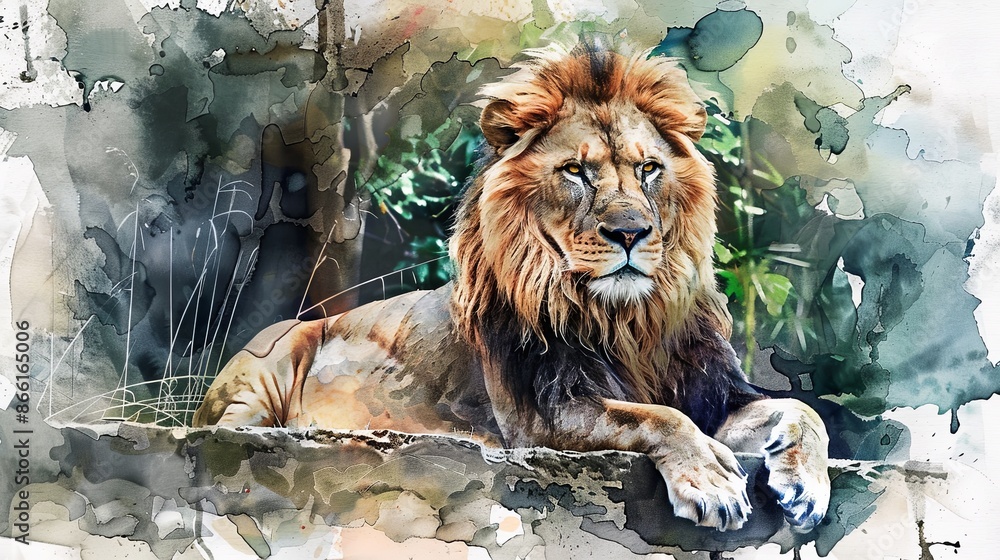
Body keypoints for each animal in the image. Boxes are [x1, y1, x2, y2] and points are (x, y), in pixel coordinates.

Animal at [194, 42, 830, 533]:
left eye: (648, 169)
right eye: (576, 171)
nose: (630, 232)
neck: (624, 319)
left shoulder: (715, 393)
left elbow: (800, 409)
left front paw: (807, 485)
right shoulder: (539, 418)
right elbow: (654, 416)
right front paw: (714, 482)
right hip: (271, 357)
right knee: (222, 434)